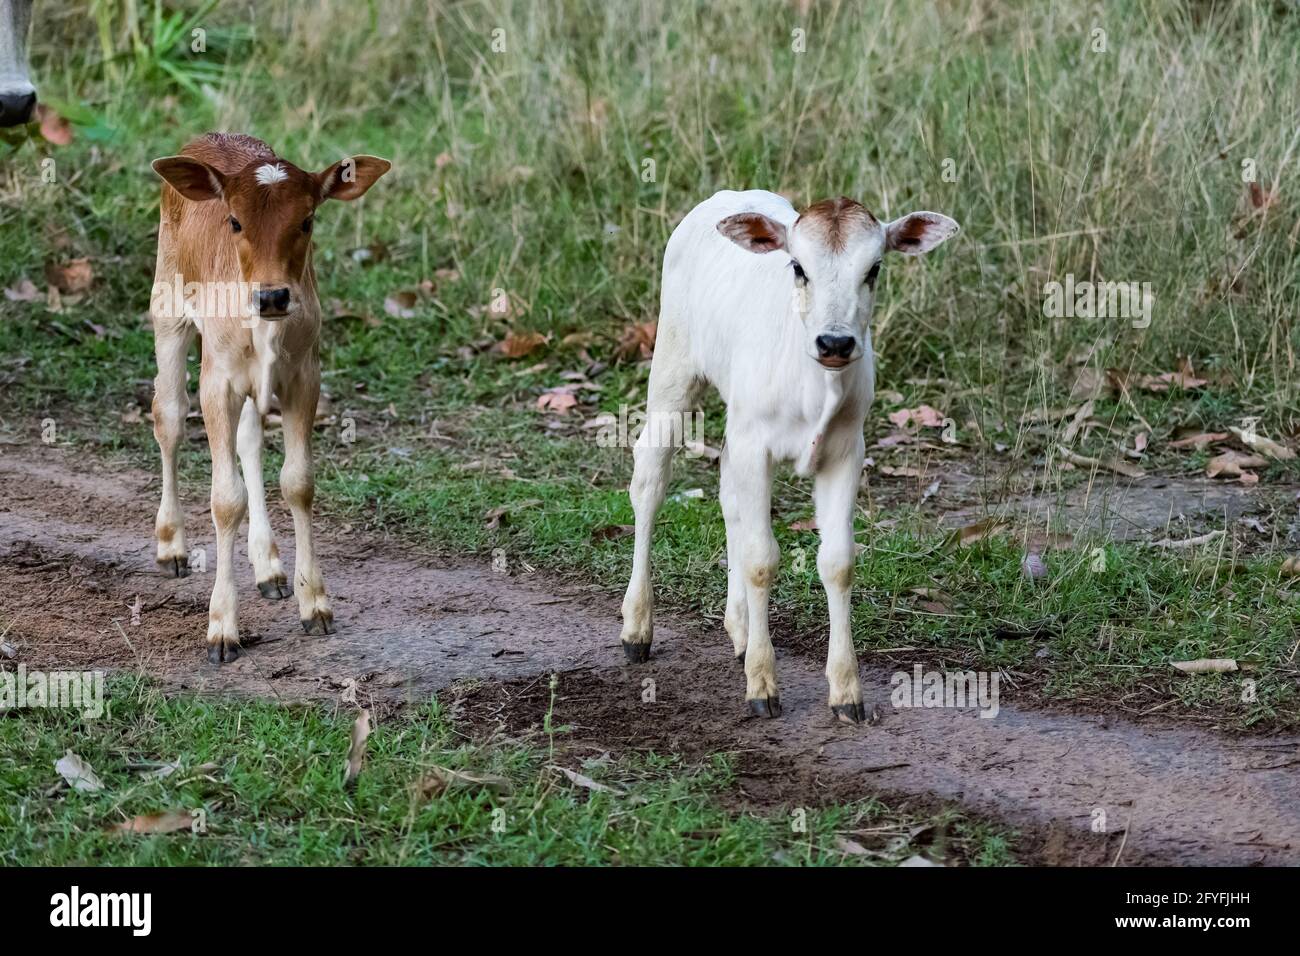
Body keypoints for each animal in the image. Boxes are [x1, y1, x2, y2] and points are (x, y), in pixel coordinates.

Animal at [148, 133, 390, 663]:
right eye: (234, 221)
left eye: (308, 220)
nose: (273, 296)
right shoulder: (217, 380)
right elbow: (224, 499)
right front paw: (222, 627)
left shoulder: (305, 375)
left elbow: (298, 482)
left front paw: (314, 603)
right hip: (167, 303)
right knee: (168, 418)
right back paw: (171, 546)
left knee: (249, 442)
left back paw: (269, 567)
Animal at [618, 190, 958, 722]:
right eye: (798, 267)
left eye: (875, 268)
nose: (836, 342)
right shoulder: (757, 445)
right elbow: (762, 559)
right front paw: (762, 685)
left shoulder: (846, 450)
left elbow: (837, 562)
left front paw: (847, 692)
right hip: (672, 364)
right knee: (650, 479)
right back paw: (637, 628)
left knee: (728, 495)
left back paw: (739, 628)